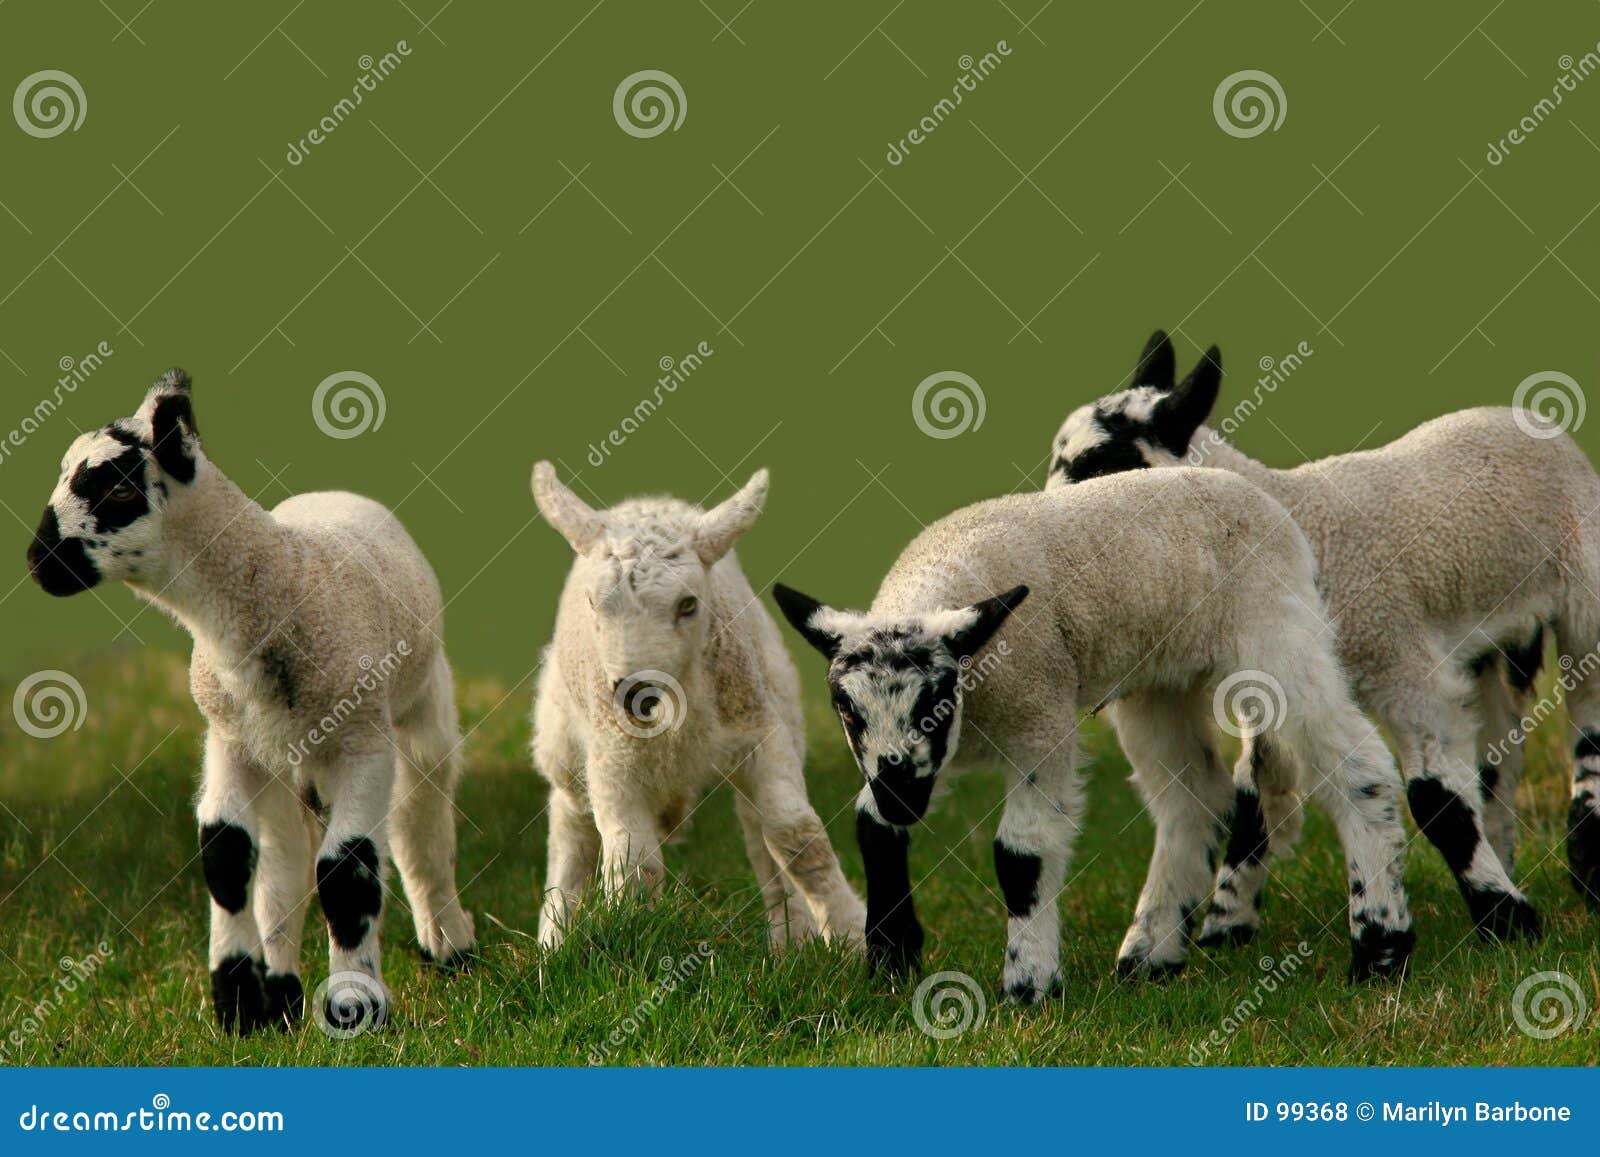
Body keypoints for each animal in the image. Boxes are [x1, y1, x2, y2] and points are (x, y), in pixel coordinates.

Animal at [25, 369, 476, 1035]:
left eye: (117, 487)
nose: (39, 561)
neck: (280, 583)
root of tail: (331, 490)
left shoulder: (362, 743)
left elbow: (347, 871)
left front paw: (354, 1008)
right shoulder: (230, 739)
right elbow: (226, 856)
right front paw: (239, 1002)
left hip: (420, 710)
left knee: (422, 822)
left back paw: (448, 945)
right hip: (282, 762)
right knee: (285, 864)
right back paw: (284, 991)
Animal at [529, 462, 866, 952]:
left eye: (688, 605)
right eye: (593, 603)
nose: (633, 691)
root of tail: (648, 498)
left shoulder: (761, 733)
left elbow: (796, 837)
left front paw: (852, 937)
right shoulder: (611, 758)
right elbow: (634, 865)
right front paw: (633, 944)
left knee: (758, 833)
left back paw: (791, 942)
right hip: (564, 746)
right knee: (571, 834)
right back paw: (553, 945)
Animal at [772, 466, 1416, 999]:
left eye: (937, 697)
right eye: (846, 709)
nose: (902, 801)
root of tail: (1269, 500)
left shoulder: (1039, 721)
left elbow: (1021, 853)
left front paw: (1029, 986)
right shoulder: (913, 760)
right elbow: (871, 826)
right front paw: (890, 958)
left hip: (1276, 635)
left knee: (1361, 768)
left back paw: (1381, 950)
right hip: (1161, 682)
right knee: (1193, 798)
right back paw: (1150, 956)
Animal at [1047, 330, 1600, 942]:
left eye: (1104, 465)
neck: (1296, 513)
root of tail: (1518, 414)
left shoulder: (1400, 656)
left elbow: (1435, 800)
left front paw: (1507, 921)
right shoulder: (1277, 683)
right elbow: (1254, 795)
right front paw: (1226, 925)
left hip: (1584, 587)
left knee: (1589, 721)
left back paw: (1585, 868)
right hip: (1482, 640)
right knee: (1499, 757)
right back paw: (1507, 856)